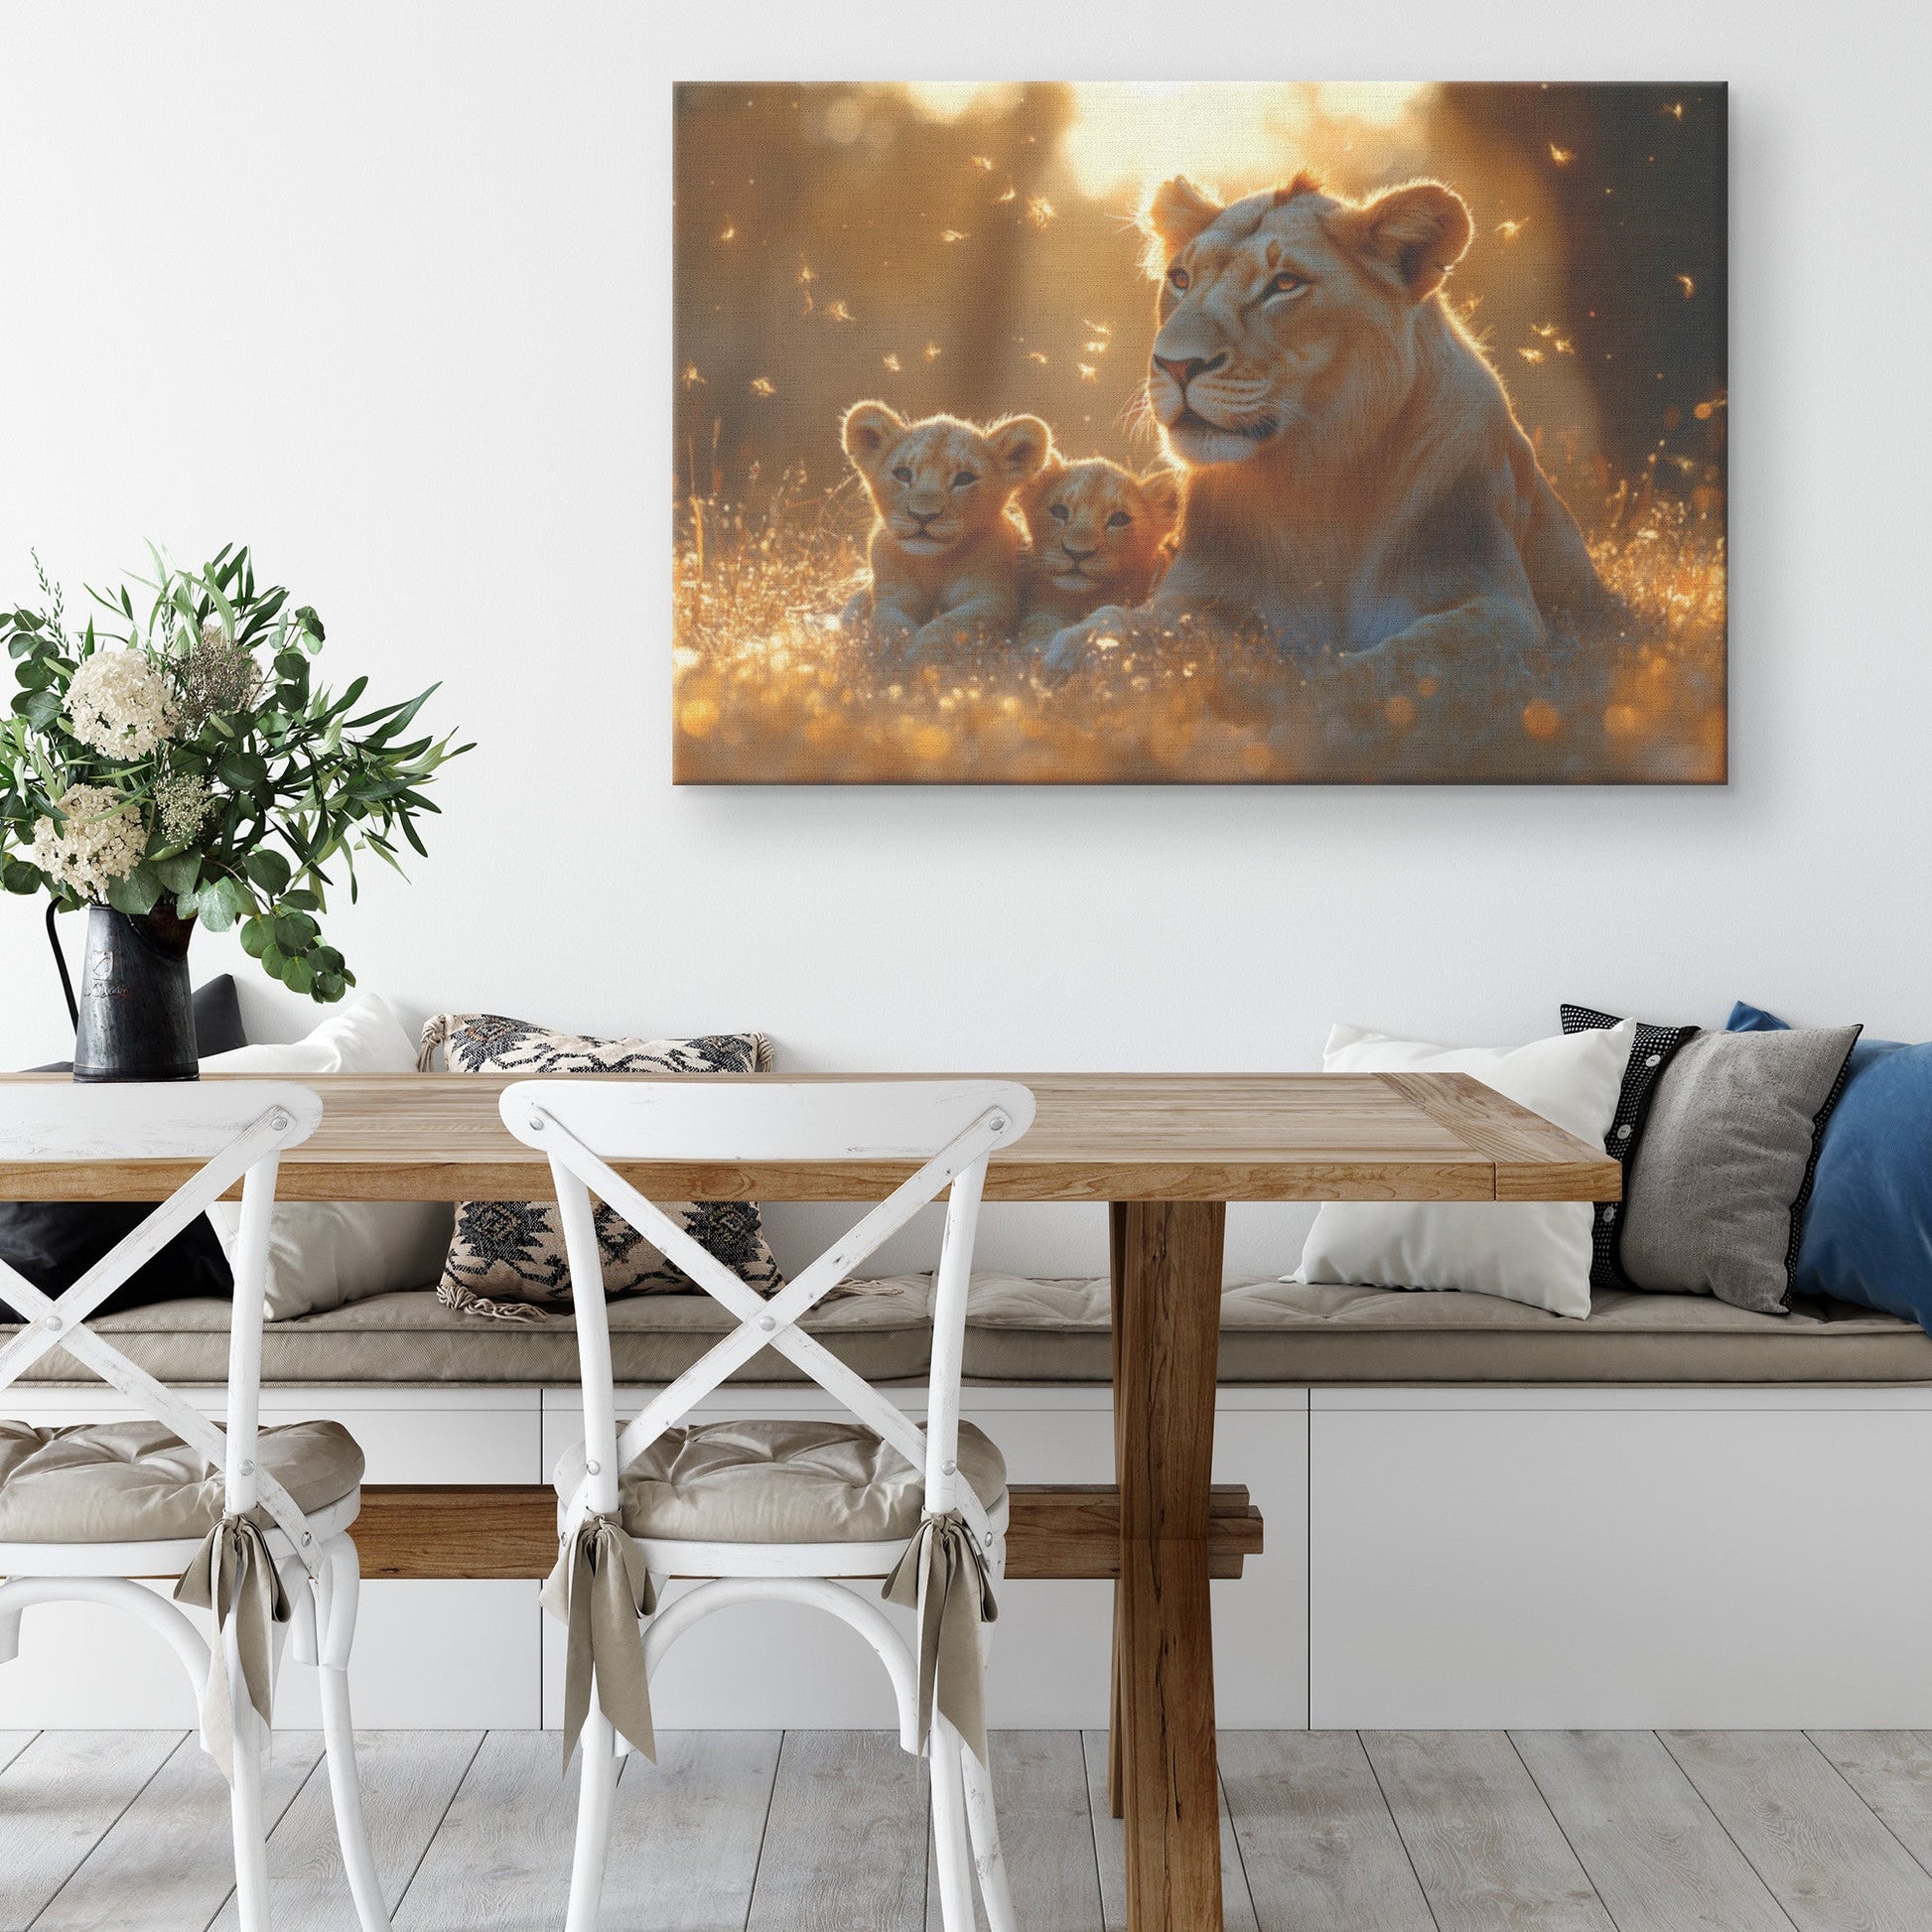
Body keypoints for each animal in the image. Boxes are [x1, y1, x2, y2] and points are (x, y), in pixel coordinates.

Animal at [839, 401, 1052, 659]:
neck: (933, 564)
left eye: (964, 478)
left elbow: (946, 626)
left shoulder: (993, 600)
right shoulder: (891, 595)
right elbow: (888, 627)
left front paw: (919, 659)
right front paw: (892, 657)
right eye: (903, 473)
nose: (922, 515)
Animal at [1043, 173, 1617, 684]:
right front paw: (1070, 655)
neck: (1319, 480)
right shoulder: (1200, 596)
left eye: (1285, 284)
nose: (1175, 365)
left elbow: (1400, 659)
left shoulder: (1504, 609)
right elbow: (1128, 624)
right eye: (1180, 279)